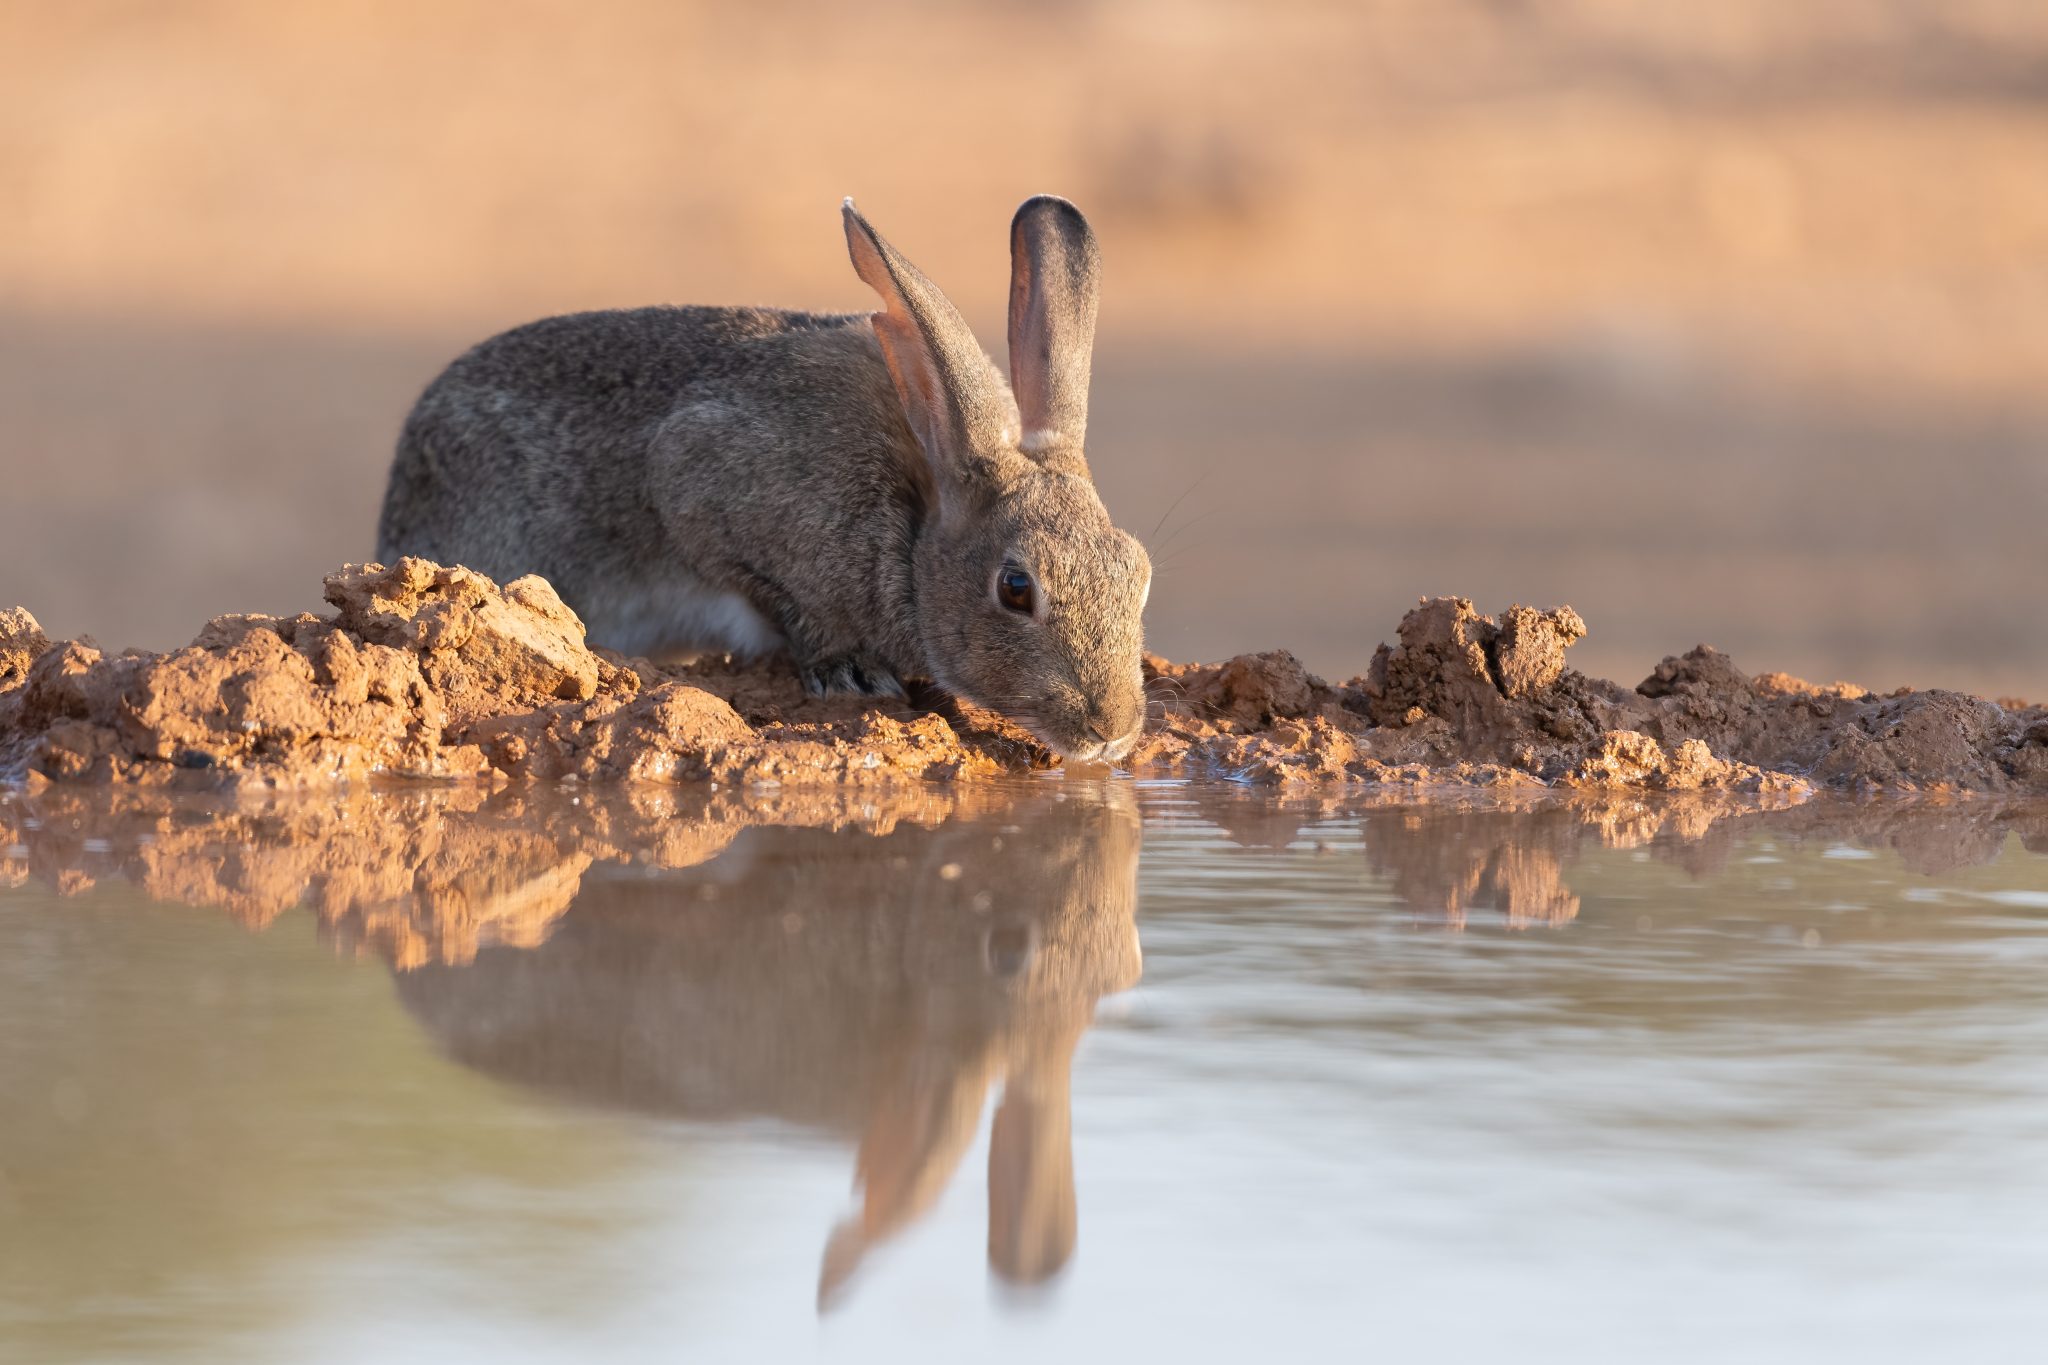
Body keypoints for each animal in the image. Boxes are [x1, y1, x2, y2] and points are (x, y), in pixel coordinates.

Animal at [376, 195, 1152, 760]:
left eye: (1139, 572)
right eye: (1016, 587)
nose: (1112, 729)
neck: (914, 526)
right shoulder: (695, 482)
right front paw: (851, 671)